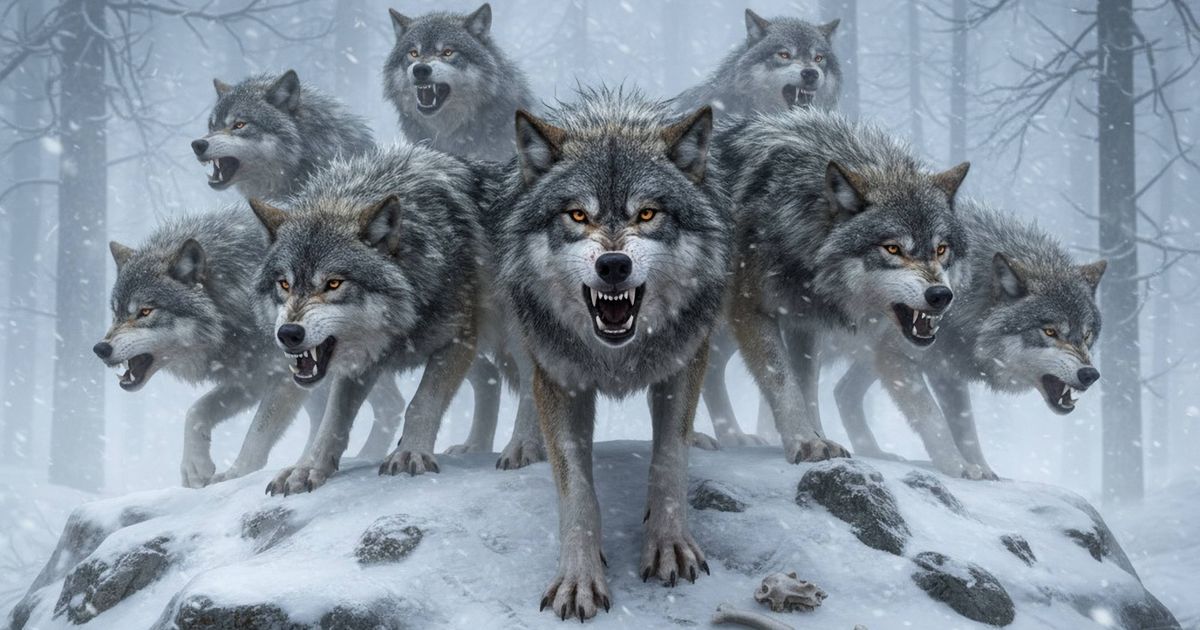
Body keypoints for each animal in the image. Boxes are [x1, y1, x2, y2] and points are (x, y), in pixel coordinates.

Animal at [95, 208, 312, 488]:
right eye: (116, 313)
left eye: (145, 312)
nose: (100, 349)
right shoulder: (249, 377)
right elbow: (196, 410)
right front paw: (194, 467)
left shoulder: (285, 376)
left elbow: (257, 433)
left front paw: (235, 476)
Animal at [250, 144, 488, 495]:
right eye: (285, 284)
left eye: (334, 284)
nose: (288, 333)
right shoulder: (361, 364)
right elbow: (332, 422)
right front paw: (307, 469)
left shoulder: (460, 337)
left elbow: (423, 401)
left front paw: (409, 453)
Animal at [497, 88, 729, 620]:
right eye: (577, 215)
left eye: (647, 214)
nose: (614, 264)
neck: (617, 357)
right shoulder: (561, 383)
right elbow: (577, 491)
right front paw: (579, 580)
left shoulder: (683, 365)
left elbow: (669, 460)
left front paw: (669, 547)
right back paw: (521, 447)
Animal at [717, 108, 970, 465]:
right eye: (893, 249)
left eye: (941, 249)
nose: (941, 296)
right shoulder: (750, 309)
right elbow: (783, 382)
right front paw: (807, 442)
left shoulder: (803, 322)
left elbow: (806, 387)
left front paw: (820, 436)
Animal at [834, 201, 1106, 479]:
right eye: (1050, 332)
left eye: (1086, 335)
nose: (1090, 374)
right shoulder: (895, 357)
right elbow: (933, 417)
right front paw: (957, 466)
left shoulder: (946, 369)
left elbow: (965, 427)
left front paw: (982, 469)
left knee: (842, 391)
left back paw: (872, 451)